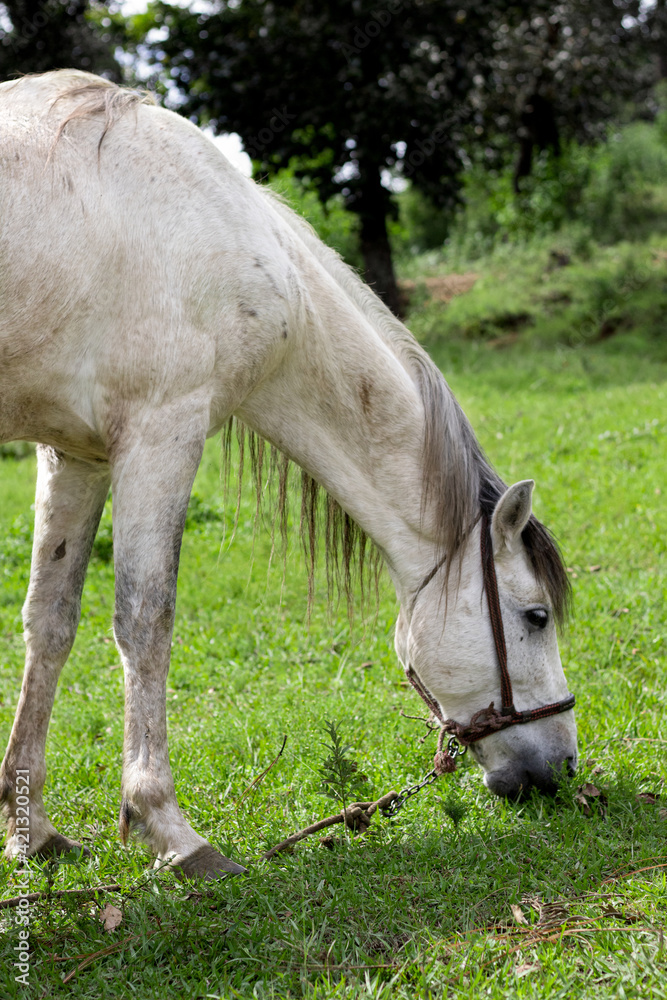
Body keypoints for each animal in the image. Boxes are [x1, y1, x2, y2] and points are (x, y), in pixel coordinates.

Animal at [0, 71, 576, 879]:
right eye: (535, 616)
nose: (560, 771)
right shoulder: (161, 433)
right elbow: (146, 622)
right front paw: (169, 830)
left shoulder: (76, 452)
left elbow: (49, 621)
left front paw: (32, 832)